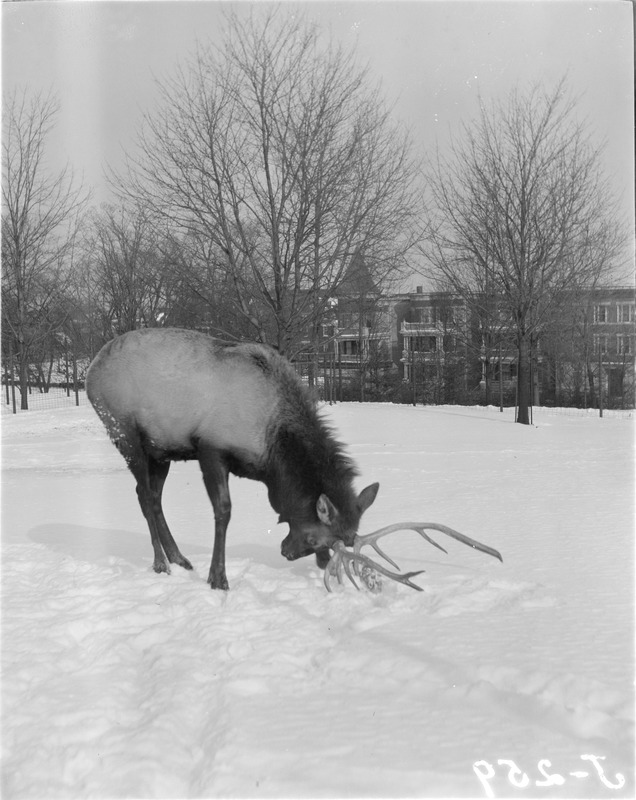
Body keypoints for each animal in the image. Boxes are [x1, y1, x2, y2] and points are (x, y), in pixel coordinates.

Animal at [86, 328, 502, 592]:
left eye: (347, 539)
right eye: (317, 537)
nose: (287, 553)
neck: (272, 455)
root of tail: (90, 370)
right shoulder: (210, 447)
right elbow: (223, 511)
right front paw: (218, 578)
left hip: (163, 449)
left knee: (154, 496)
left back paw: (178, 557)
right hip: (125, 433)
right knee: (144, 495)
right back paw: (161, 562)